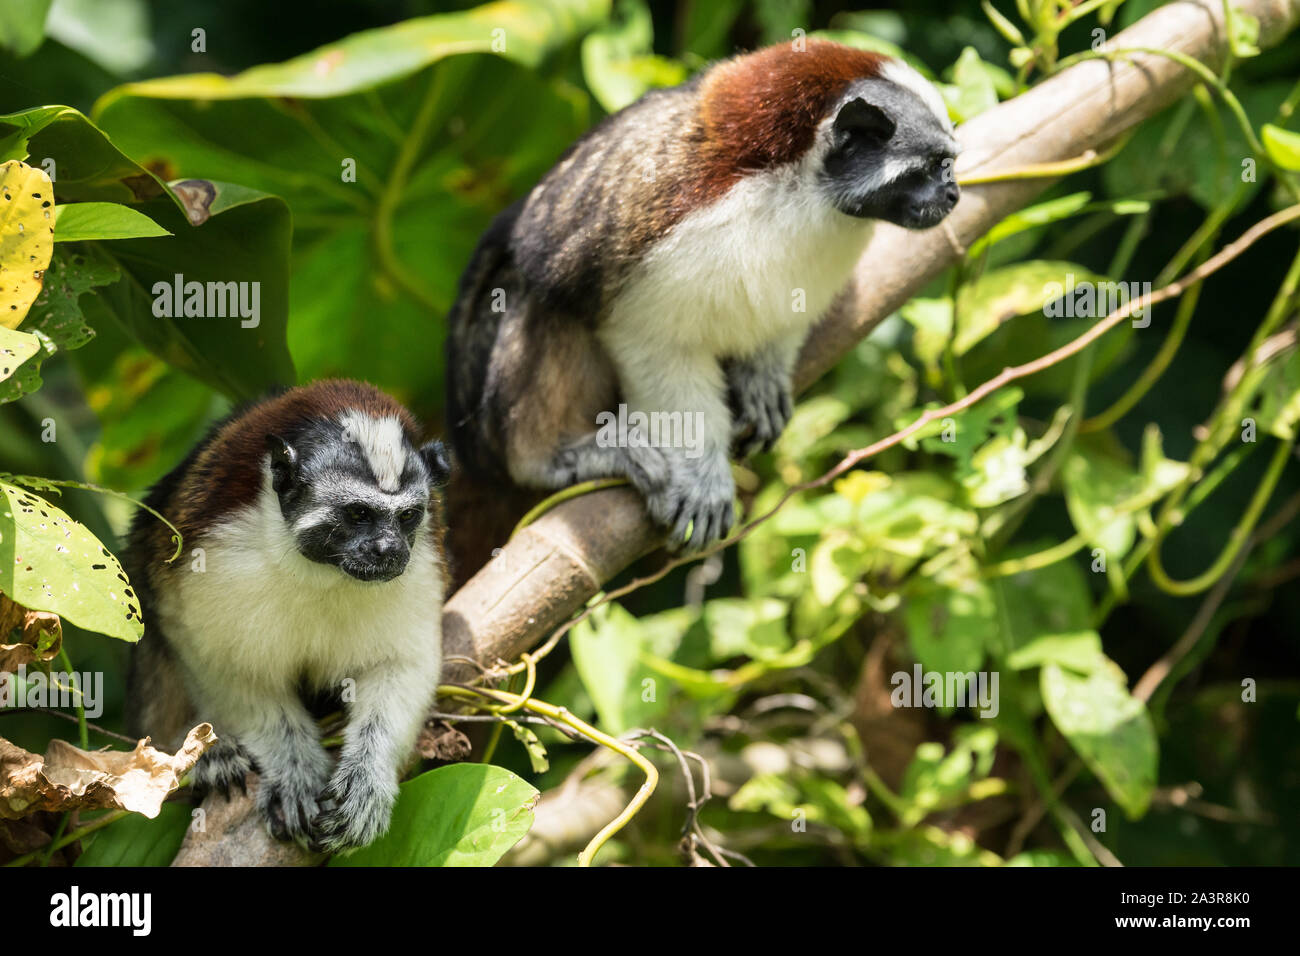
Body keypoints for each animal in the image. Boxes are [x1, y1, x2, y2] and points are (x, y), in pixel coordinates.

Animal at [124, 380, 450, 853]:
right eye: (358, 514)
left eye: (407, 516)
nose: (389, 549)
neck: (325, 571)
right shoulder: (215, 556)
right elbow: (222, 663)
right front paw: (294, 771)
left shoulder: (421, 563)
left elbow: (402, 665)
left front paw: (367, 779)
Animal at [444, 40, 960, 579]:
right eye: (932, 167)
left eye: (948, 166)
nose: (953, 194)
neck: (788, 187)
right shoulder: (677, 231)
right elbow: (652, 342)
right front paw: (703, 474)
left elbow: (782, 318)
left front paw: (762, 377)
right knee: (534, 295)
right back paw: (550, 455)